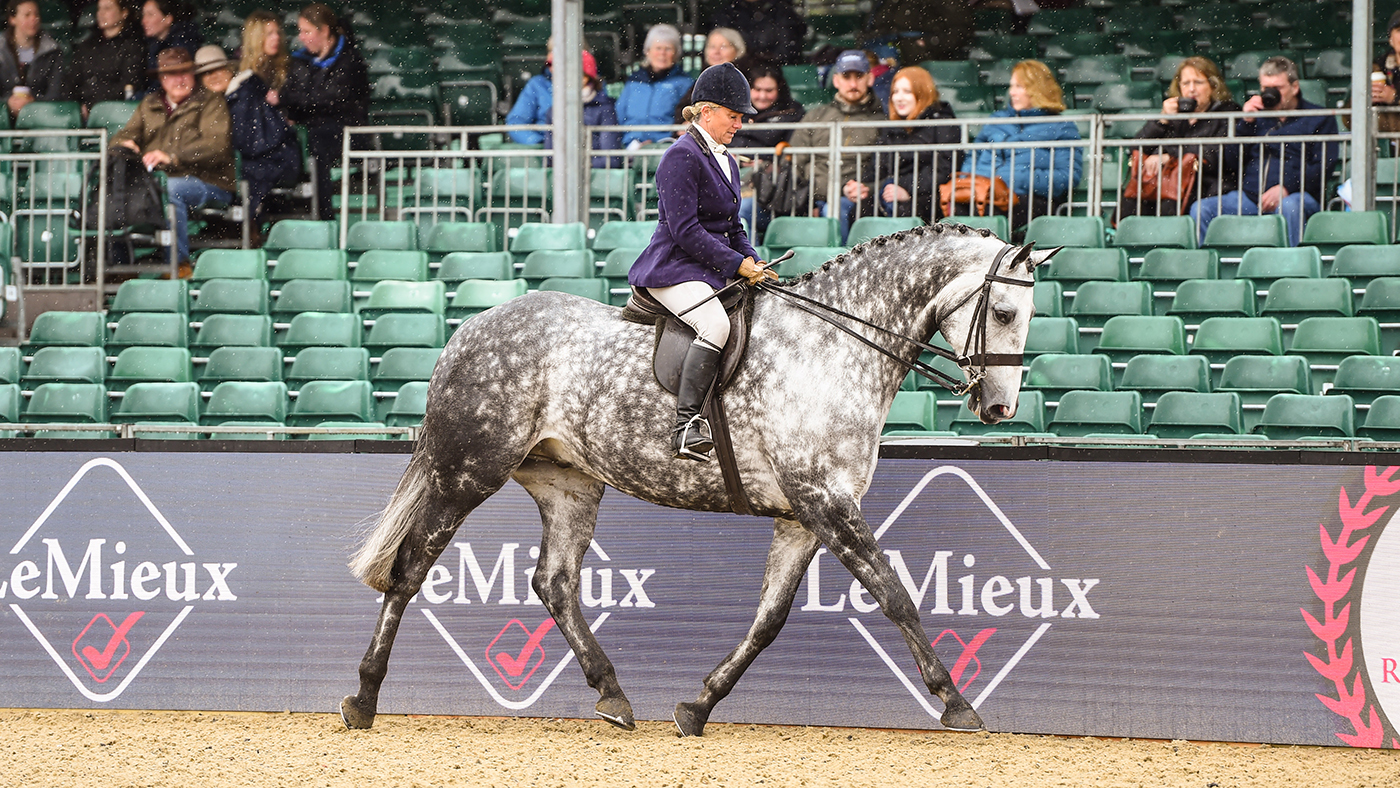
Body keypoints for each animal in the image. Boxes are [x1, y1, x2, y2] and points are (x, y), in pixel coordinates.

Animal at [341, 223, 1054, 736]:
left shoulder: (804, 517)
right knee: (409, 569)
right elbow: (895, 595)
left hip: (569, 485)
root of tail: (471, 326)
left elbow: (769, 620)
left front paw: (699, 706)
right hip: (468, 472)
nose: (999, 408)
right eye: (1004, 314)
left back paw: (614, 696)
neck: (836, 347)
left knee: (555, 583)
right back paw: (364, 698)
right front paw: (956, 703)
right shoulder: (826, 503)